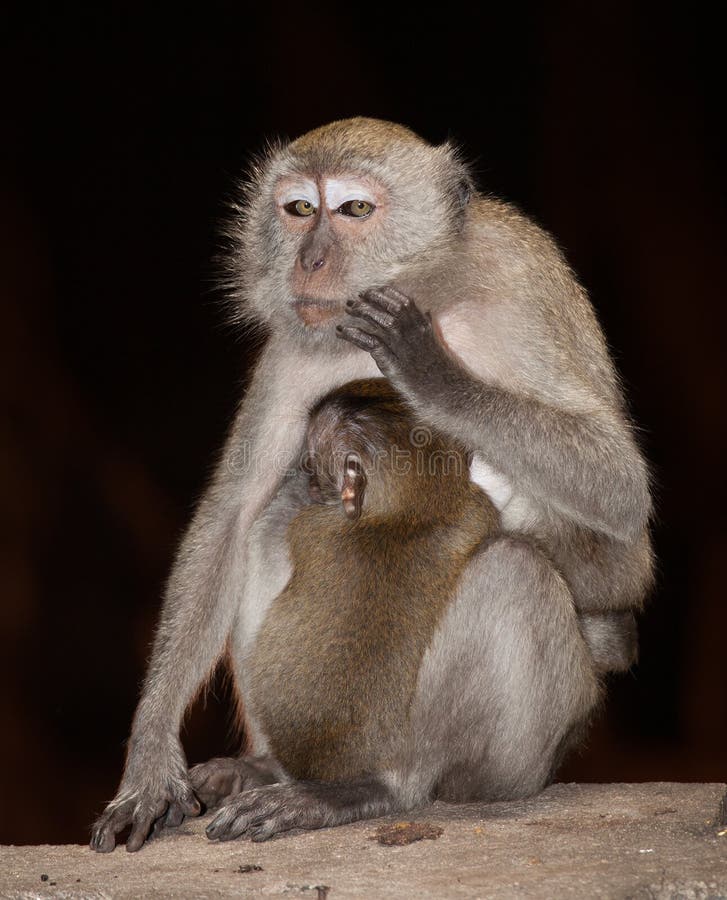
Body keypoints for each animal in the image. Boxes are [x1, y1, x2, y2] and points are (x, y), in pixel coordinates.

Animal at [90, 118, 653, 852]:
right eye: (300, 208)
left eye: (355, 208)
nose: (309, 261)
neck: (433, 288)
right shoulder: (298, 345)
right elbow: (233, 516)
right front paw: (150, 762)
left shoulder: (522, 287)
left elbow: (620, 503)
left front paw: (435, 377)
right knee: (270, 519)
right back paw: (270, 767)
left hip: (520, 761)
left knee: (514, 571)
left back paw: (380, 788)